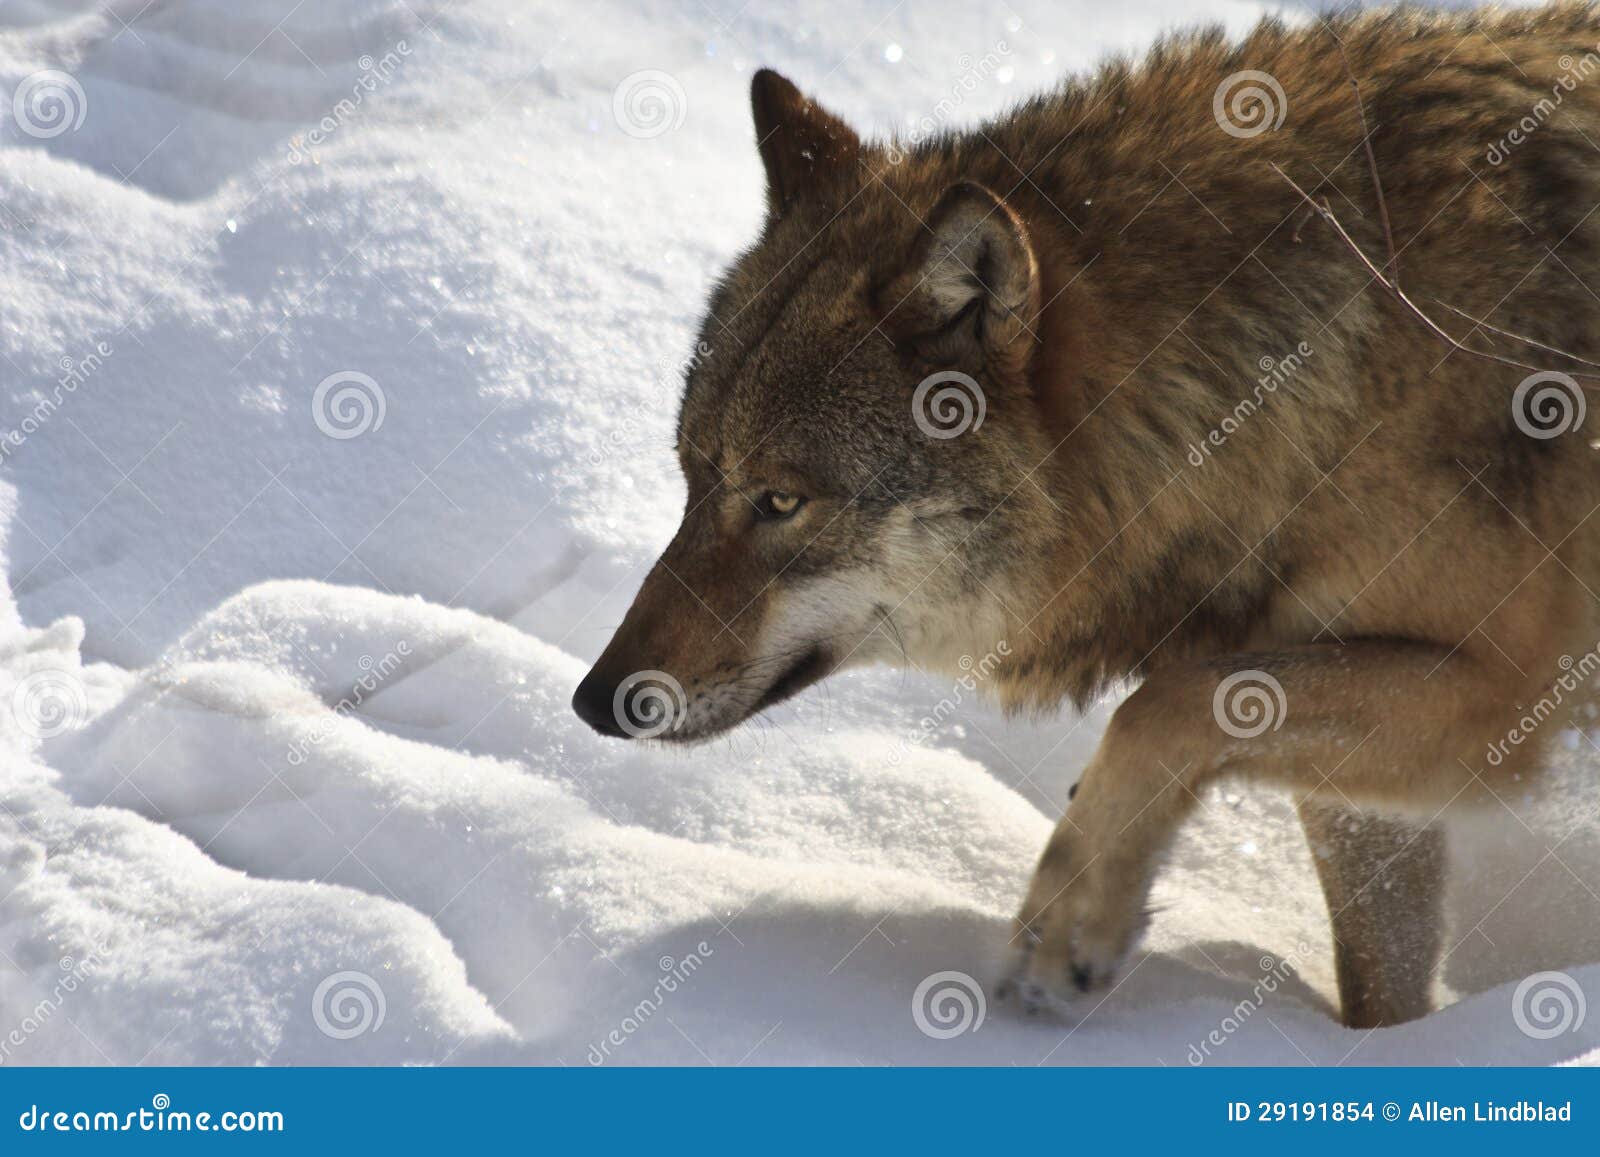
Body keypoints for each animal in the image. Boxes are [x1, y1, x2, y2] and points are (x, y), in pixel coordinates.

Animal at [573, 3, 1600, 1026]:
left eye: (780, 501)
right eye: (690, 476)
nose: (594, 701)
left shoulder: (1501, 687)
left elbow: (1163, 705)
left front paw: (1067, 925)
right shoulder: (1370, 749)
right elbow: (1380, 972)